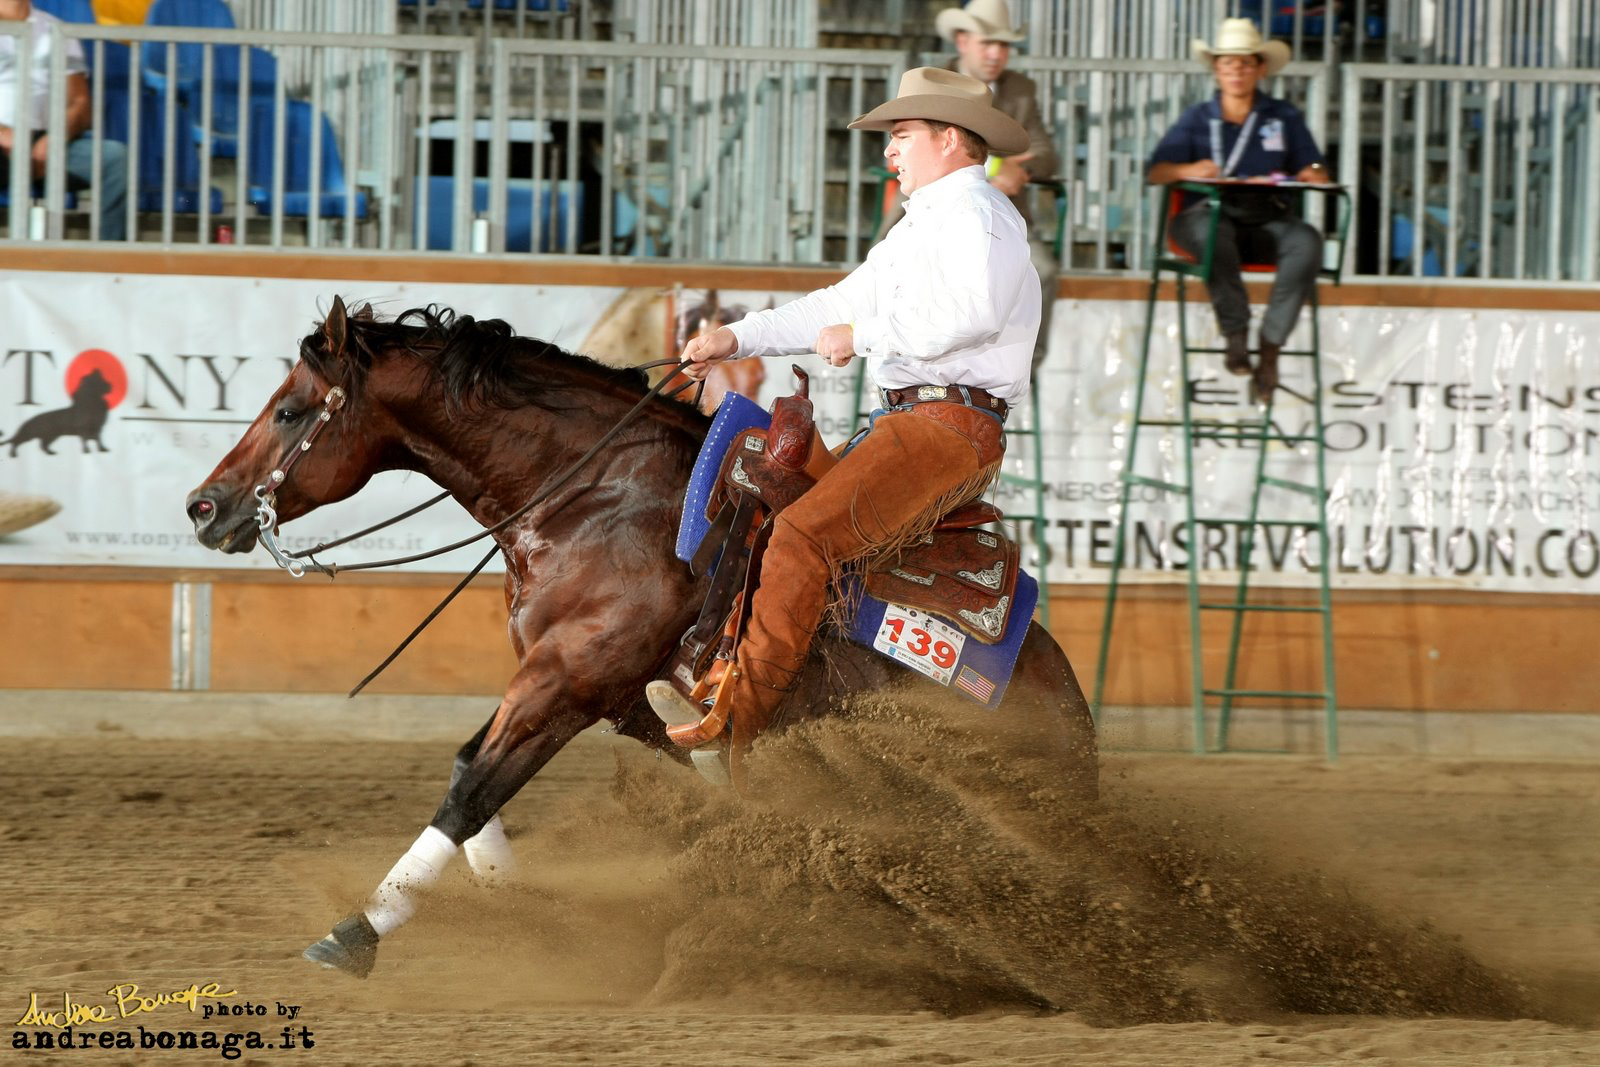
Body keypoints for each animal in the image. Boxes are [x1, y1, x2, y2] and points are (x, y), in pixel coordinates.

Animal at [185, 297, 1099, 979]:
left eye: (291, 409)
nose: (204, 505)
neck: (594, 497)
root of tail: (1073, 716)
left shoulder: (569, 681)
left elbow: (471, 789)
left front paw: (358, 930)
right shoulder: (585, 686)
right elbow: (469, 771)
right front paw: (523, 912)